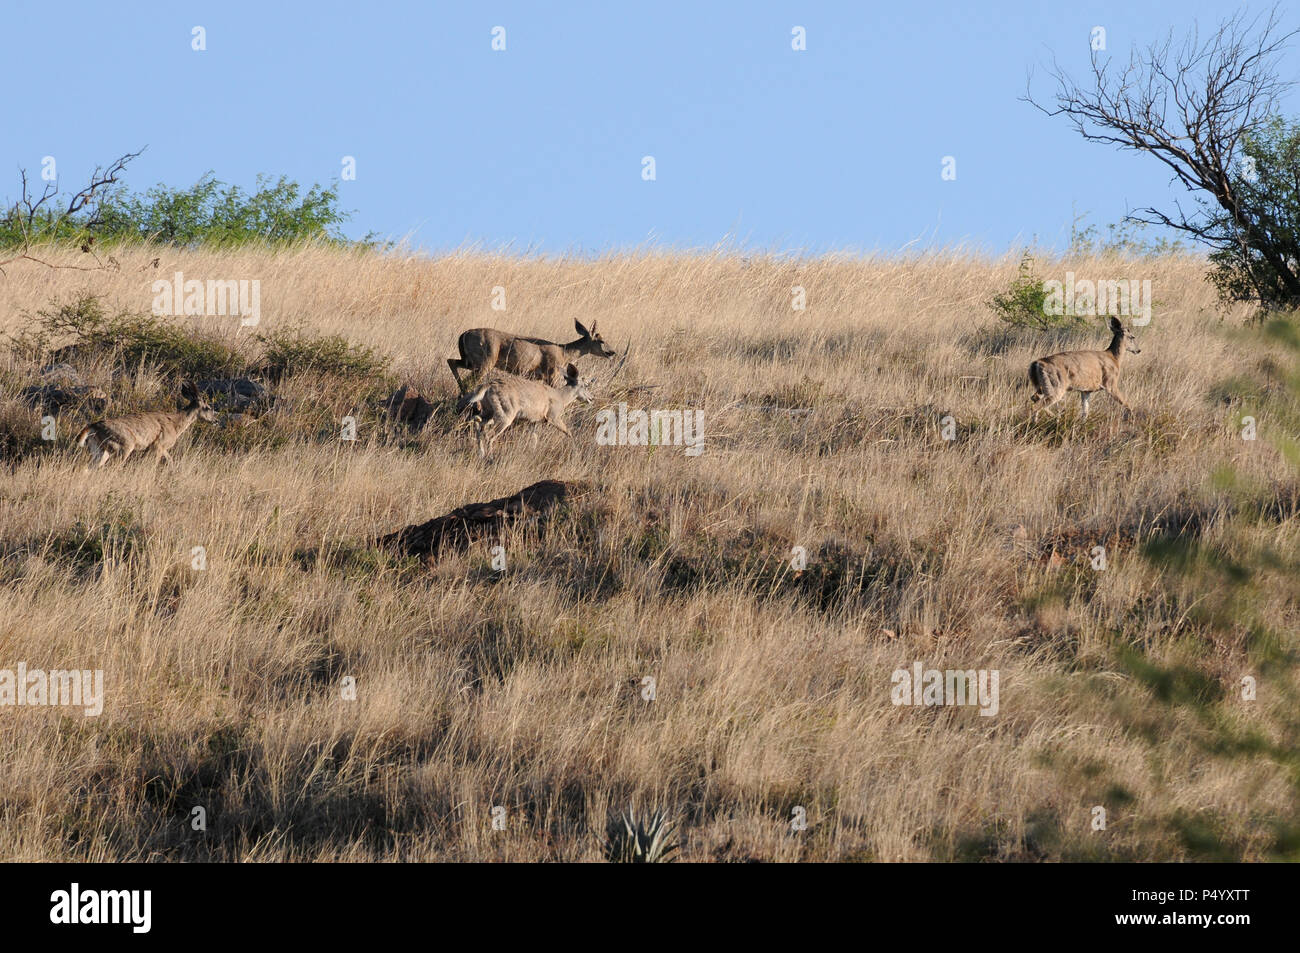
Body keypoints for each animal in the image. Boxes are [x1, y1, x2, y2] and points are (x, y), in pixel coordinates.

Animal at [75, 381, 218, 469]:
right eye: (207, 407)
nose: (216, 420)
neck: (175, 424)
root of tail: (93, 426)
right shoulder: (158, 445)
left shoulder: (161, 448)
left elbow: (171, 461)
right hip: (125, 444)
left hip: (99, 449)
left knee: (88, 468)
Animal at [447, 319, 616, 393]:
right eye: (601, 340)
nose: (612, 352)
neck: (564, 353)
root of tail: (464, 334)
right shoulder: (552, 374)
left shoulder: (536, 377)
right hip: (485, 361)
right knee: (470, 381)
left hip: (470, 361)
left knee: (451, 361)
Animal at [457, 362, 593, 457]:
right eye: (586, 385)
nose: (591, 398)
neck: (562, 398)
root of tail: (488, 386)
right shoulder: (553, 416)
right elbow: (569, 432)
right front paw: (576, 450)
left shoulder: (535, 421)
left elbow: (534, 439)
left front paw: (532, 452)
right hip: (506, 412)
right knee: (489, 433)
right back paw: (490, 457)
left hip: (489, 410)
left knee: (477, 420)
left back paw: (481, 453)